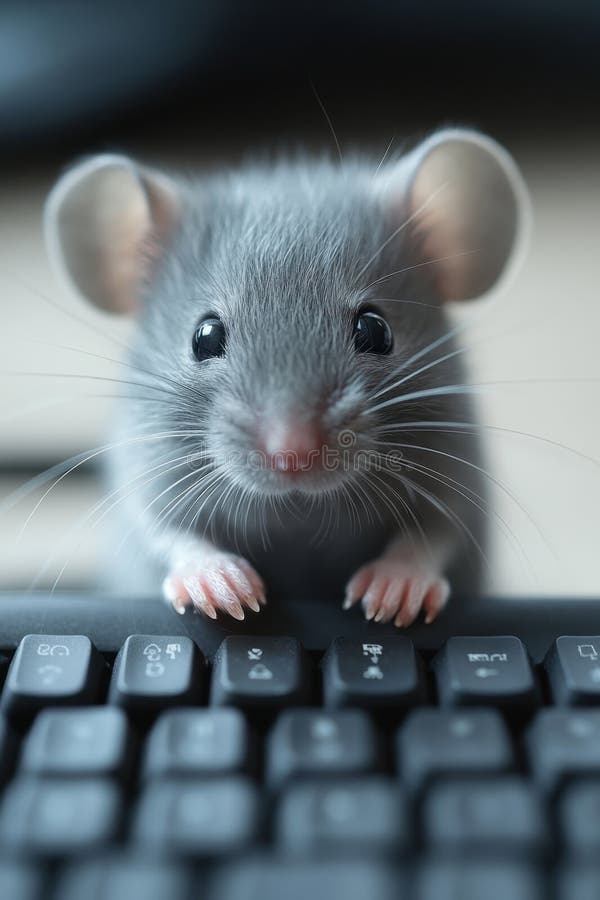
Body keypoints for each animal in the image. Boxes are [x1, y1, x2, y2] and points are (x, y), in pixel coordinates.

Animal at [44, 128, 526, 626]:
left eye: (376, 330)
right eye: (204, 336)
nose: (292, 456)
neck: (298, 510)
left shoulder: (459, 478)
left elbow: (434, 535)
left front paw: (395, 589)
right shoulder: (145, 479)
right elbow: (169, 533)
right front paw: (221, 585)